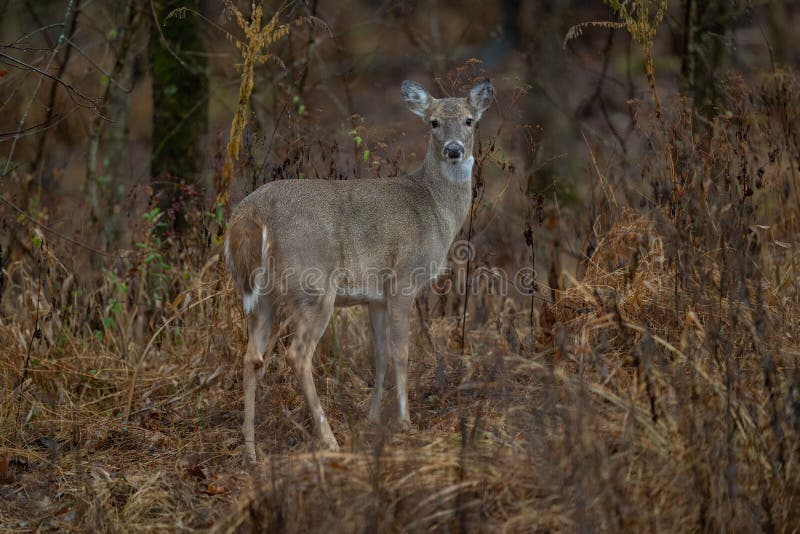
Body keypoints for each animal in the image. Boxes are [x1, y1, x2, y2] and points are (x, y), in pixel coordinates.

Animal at [225, 78, 494, 463]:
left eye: (470, 120)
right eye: (434, 122)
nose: (454, 150)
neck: (434, 209)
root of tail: (250, 214)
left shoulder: (375, 297)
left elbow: (378, 355)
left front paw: (372, 418)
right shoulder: (402, 279)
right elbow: (401, 352)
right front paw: (405, 422)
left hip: (260, 296)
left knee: (252, 357)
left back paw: (251, 452)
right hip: (313, 285)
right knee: (297, 355)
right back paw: (329, 440)